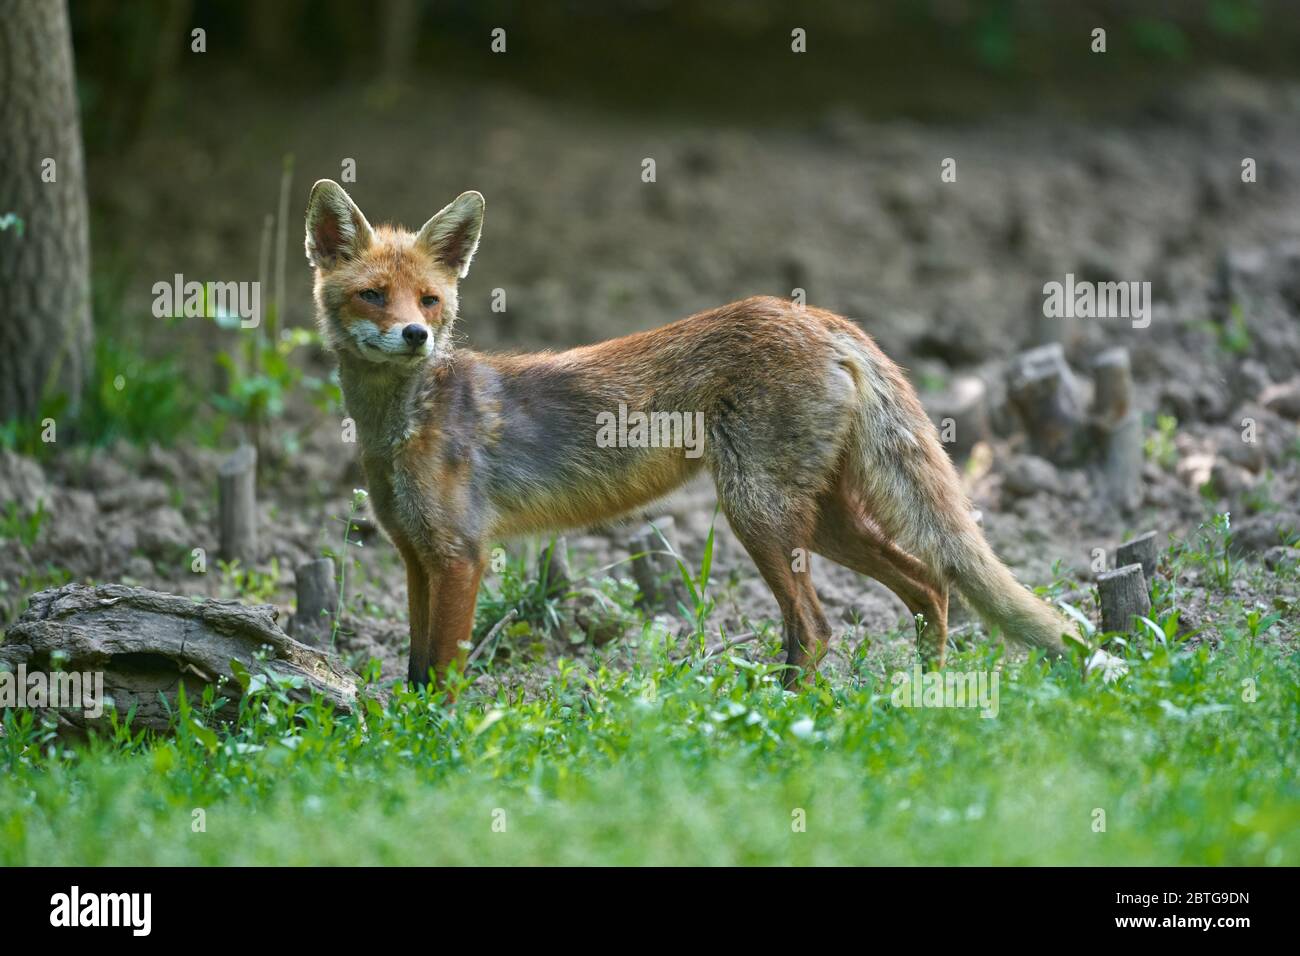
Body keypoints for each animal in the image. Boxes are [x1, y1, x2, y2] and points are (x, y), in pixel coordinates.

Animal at [305, 179, 1082, 690]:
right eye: (373, 295)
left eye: (430, 300)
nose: (416, 335)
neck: (397, 429)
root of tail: (817, 316)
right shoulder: (415, 556)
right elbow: (414, 667)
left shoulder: (461, 554)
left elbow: (442, 674)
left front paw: (441, 745)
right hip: (820, 517)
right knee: (929, 586)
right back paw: (923, 692)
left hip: (758, 513)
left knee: (818, 626)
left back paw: (785, 716)